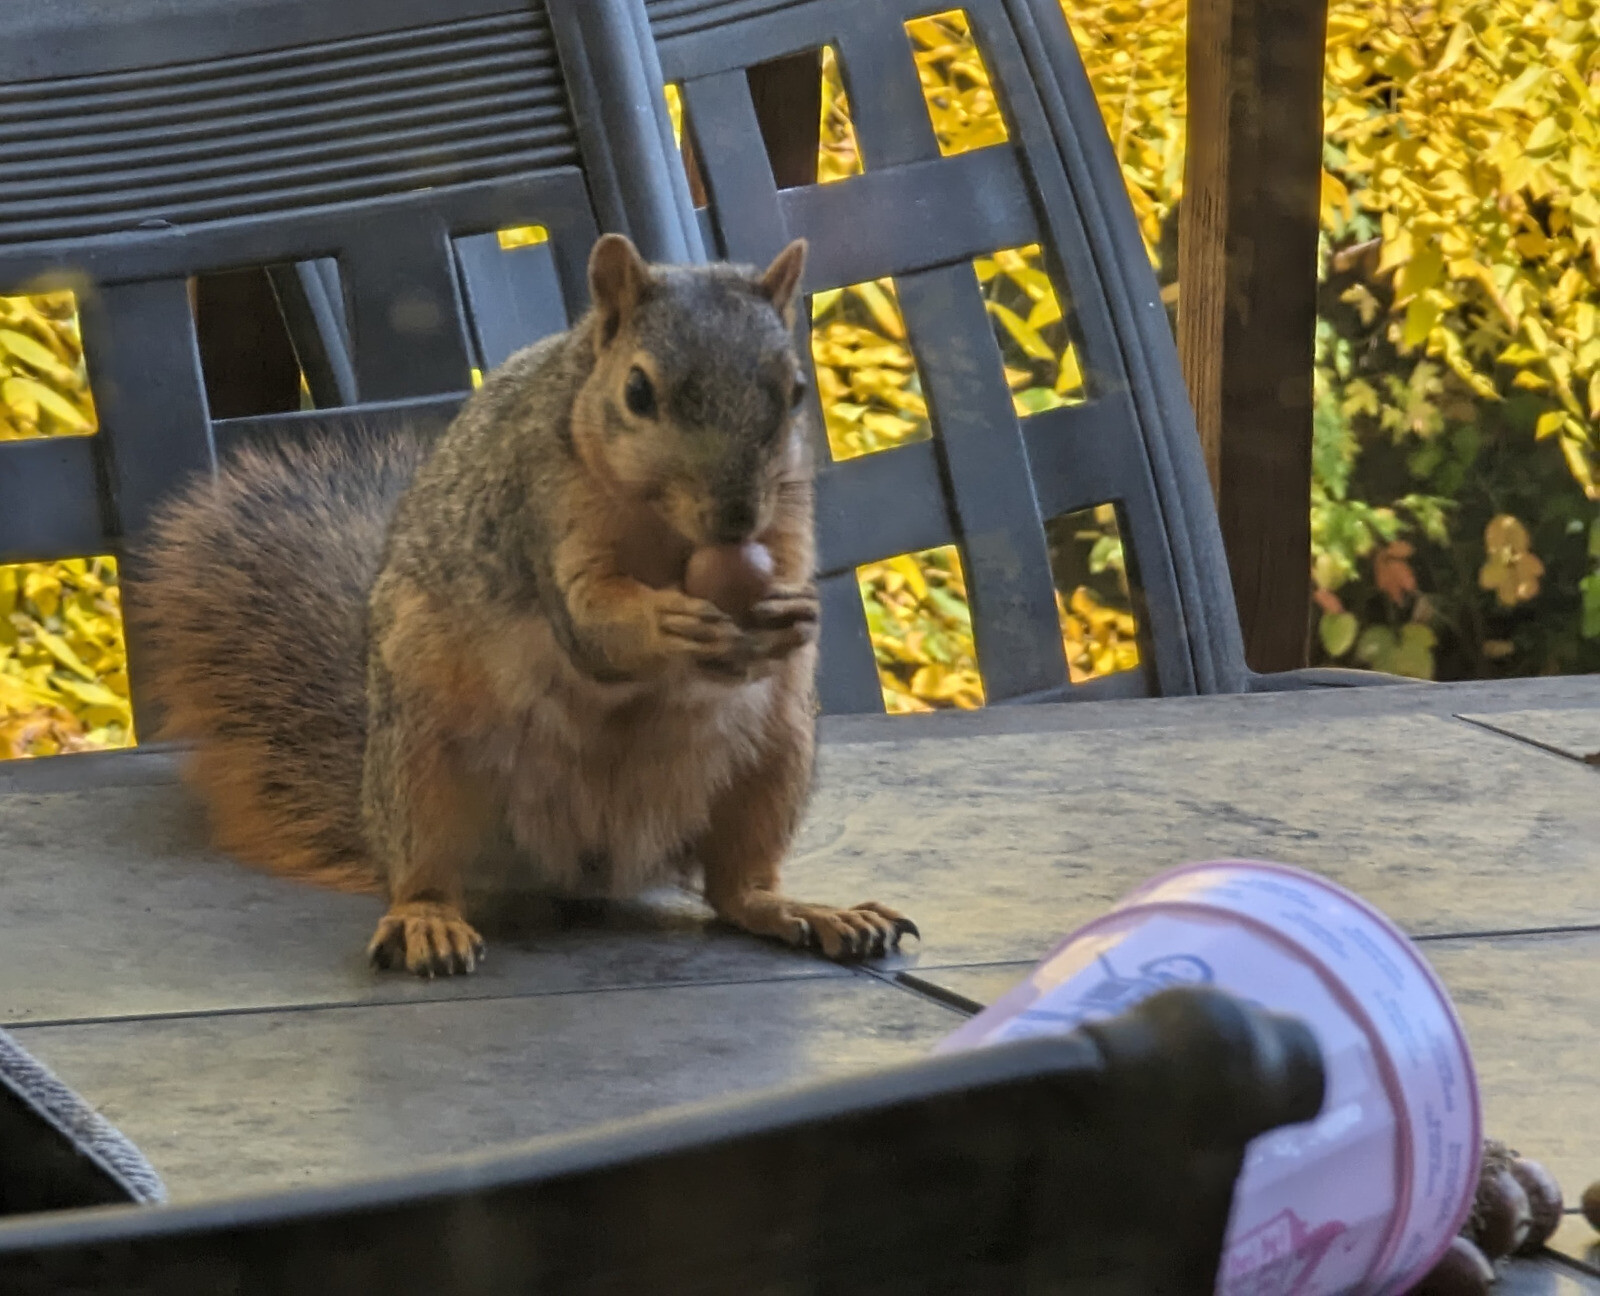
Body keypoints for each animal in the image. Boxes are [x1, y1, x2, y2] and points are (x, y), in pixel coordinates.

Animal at [137, 236, 921, 972]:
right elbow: (591, 625)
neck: (663, 525)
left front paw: (793, 615)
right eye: (638, 391)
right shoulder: (542, 508)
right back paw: (426, 920)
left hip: (775, 757)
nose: (733, 519)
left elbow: (781, 580)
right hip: (421, 758)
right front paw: (666, 622)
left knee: (737, 889)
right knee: (425, 868)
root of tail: (582, 867)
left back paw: (807, 911)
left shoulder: (785, 513)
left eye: (795, 393)